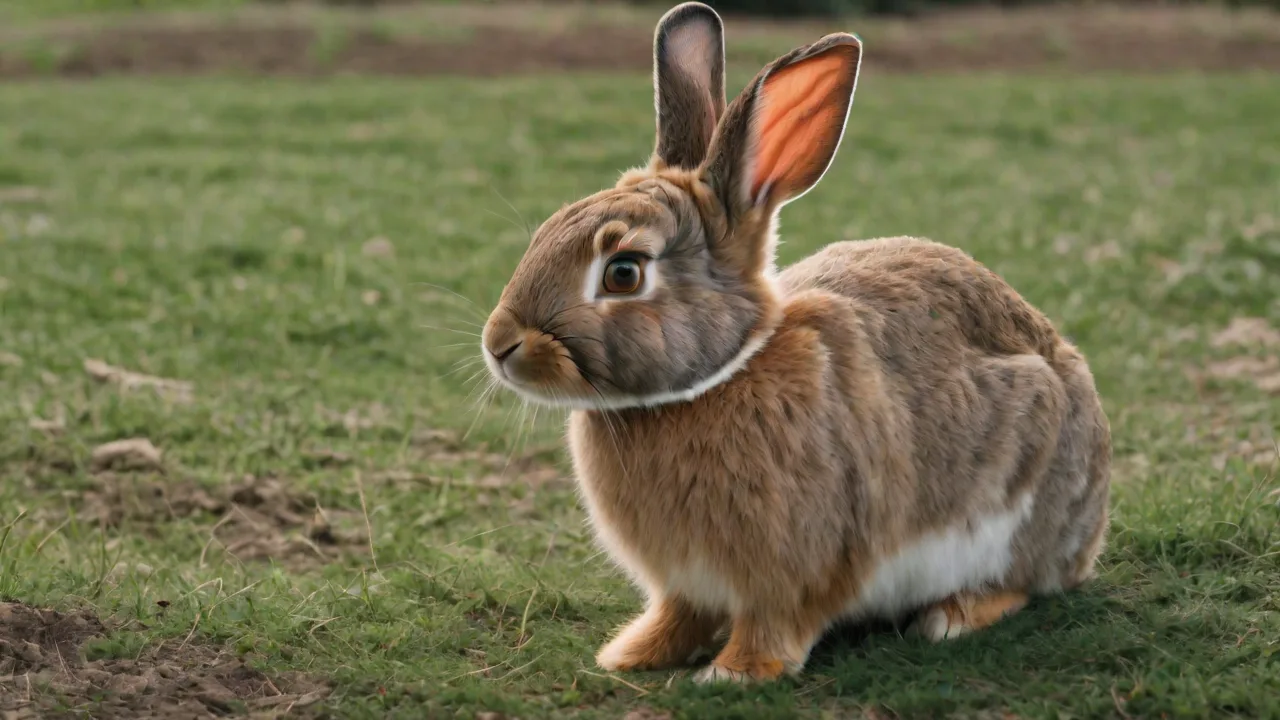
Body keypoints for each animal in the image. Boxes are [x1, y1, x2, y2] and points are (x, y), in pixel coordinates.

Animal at [479, 1, 1111, 683]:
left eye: (623, 273)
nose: (500, 345)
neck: (718, 376)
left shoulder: (799, 569)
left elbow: (777, 622)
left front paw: (735, 673)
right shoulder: (684, 583)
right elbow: (679, 614)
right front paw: (633, 652)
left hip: (1028, 487)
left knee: (1022, 580)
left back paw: (953, 616)